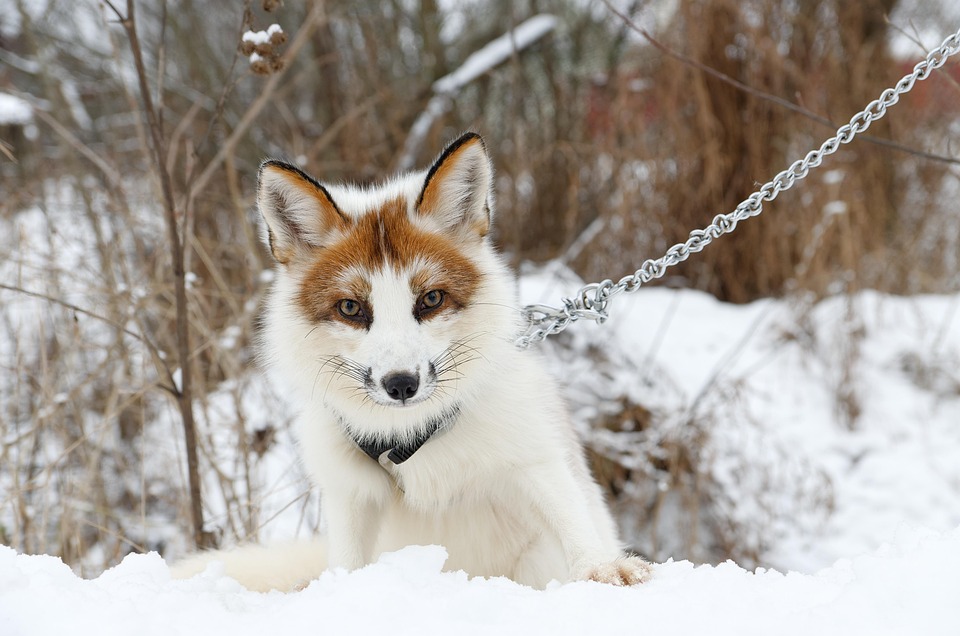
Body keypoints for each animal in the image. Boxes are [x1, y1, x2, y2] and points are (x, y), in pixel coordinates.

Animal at [172, 132, 652, 591]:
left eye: (431, 299)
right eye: (350, 308)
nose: (401, 384)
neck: (408, 437)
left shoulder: (533, 459)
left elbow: (573, 523)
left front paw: (601, 569)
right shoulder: (351, 494)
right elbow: (347, 563)